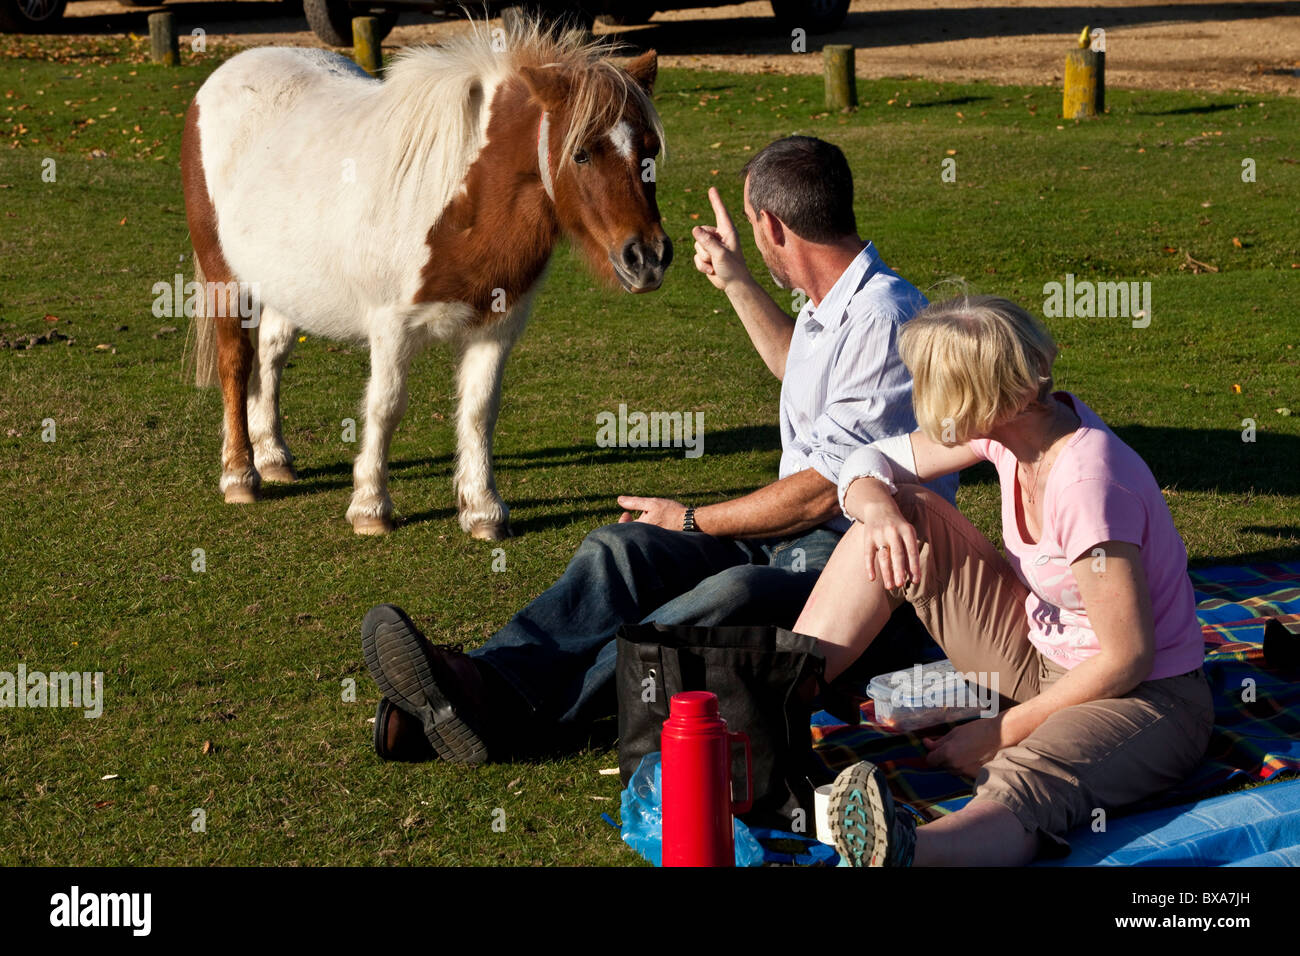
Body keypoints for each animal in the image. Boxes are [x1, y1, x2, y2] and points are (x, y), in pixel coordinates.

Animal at [182, 19, 671, 538]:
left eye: (649, 150)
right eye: (580, 154)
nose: (648, 257)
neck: (459, 200)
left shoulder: (497, 327)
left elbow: (479, 410)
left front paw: (483, 510)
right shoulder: (392, 327)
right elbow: (386, 406)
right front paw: (371, 506)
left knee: (271, 356)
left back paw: (273, 455)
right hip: (223, 278)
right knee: (236, 363)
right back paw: (240, 475)